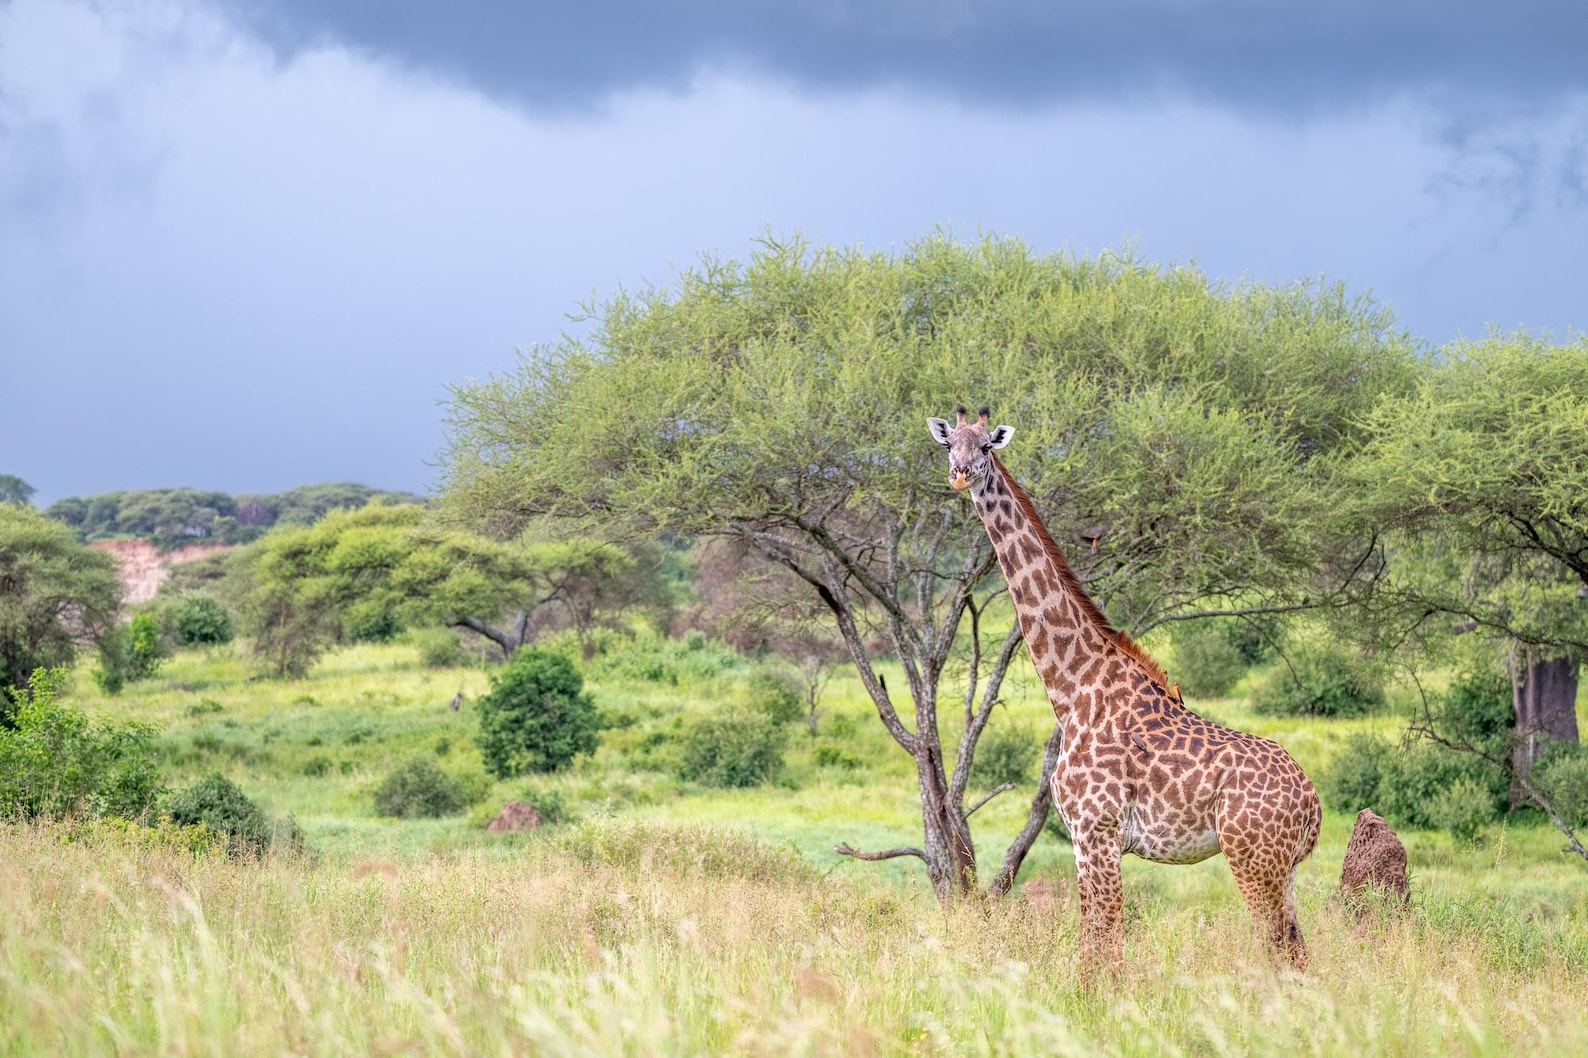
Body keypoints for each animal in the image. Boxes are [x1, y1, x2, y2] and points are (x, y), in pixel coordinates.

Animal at [927, 406, 1321, 970]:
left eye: (985, 447)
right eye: (948, 445)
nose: (960, 475)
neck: (1073, 689)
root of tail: (1314, 803)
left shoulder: (1099, 830)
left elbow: (1106, 942)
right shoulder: (1081, 839)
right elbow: (1092, 937)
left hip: (1253, 857)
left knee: (1277, 946)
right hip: (1282, 867)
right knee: (1297, 950)